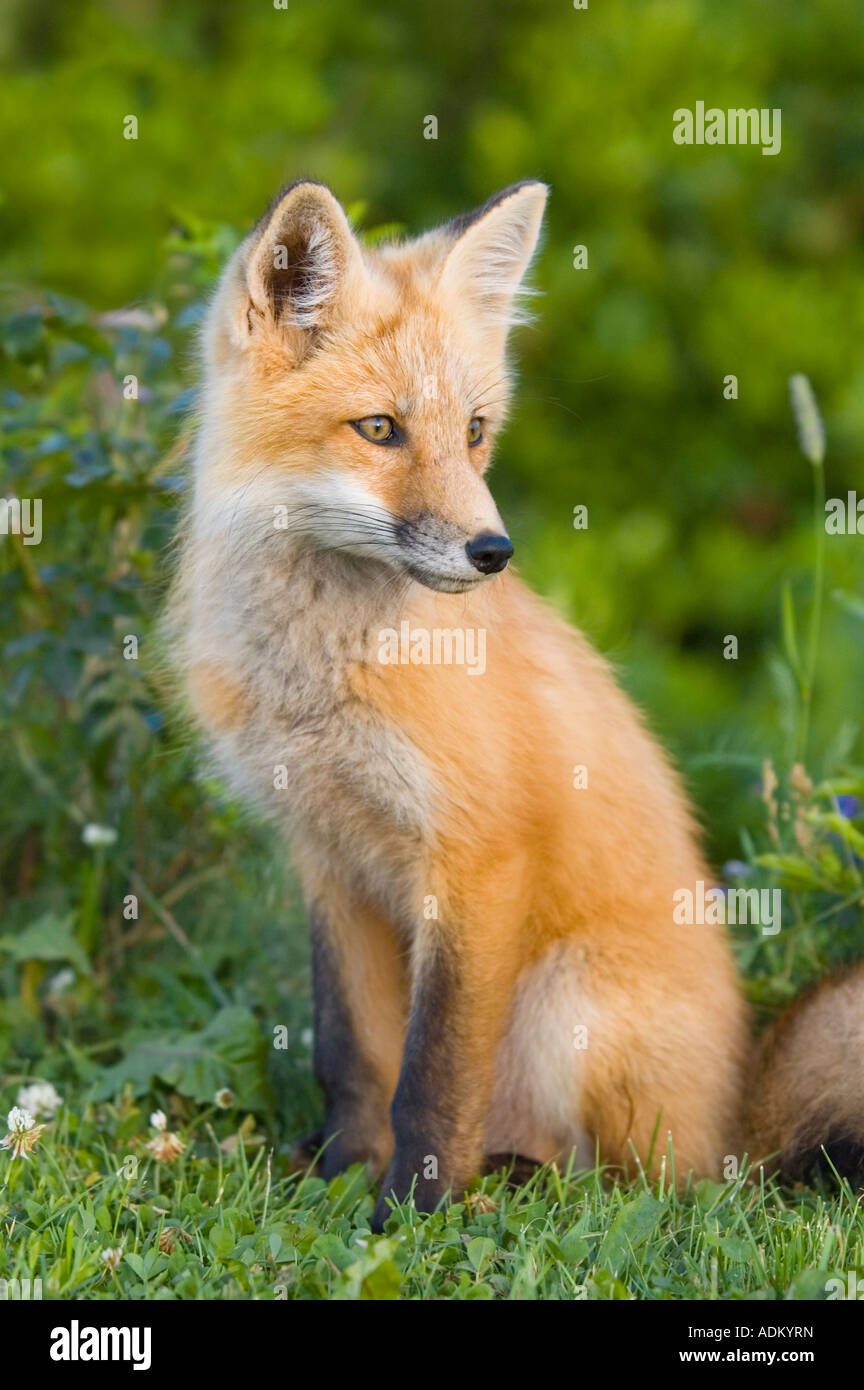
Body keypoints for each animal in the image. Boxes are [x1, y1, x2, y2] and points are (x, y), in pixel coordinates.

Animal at [169, 178, 864, 1231]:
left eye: (474, 432)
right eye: (380, 429)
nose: (493, 552)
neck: (321, 675)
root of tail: (740, 1115)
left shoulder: (477, 854)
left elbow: (433, 1075)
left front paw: (413, 1213)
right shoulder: (329, 858)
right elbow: (351, 1057)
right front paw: (342, 1181)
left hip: (567, 1006)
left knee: (646, 1189)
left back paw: (512, 1183)